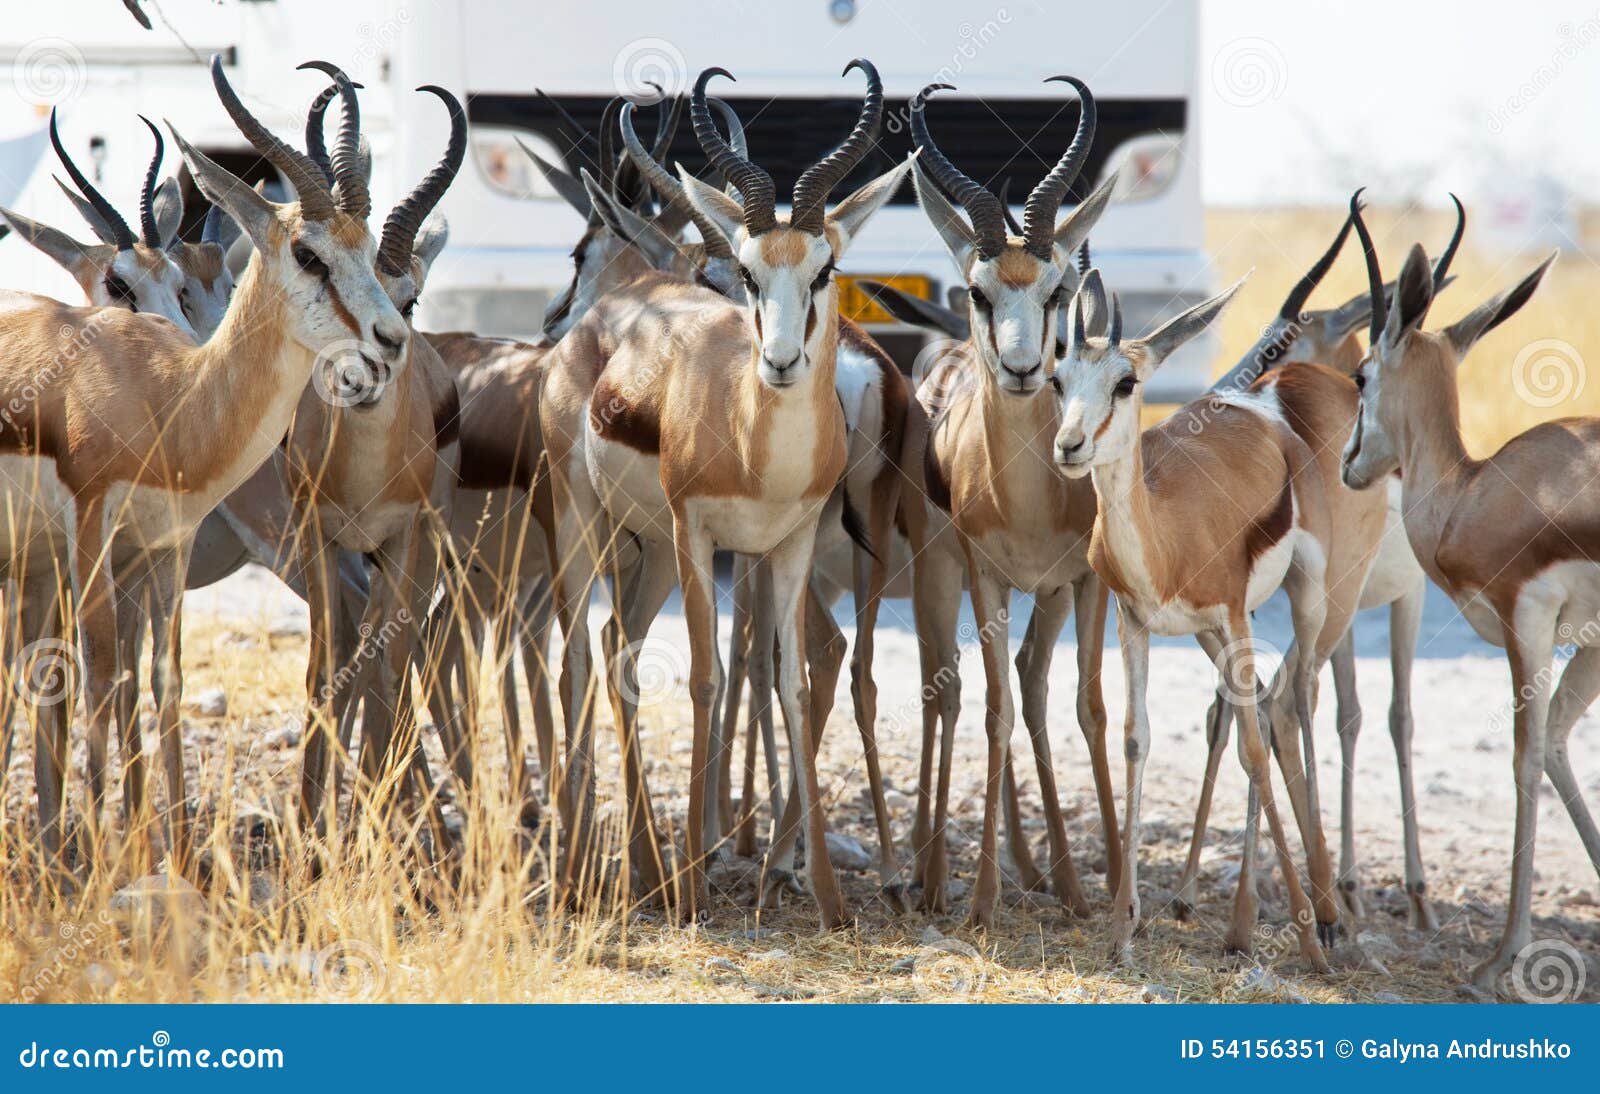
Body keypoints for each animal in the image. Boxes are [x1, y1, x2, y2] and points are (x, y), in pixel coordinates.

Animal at [0, 54, 410, 868]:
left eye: (367, 246)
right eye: (308, 253)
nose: (390, 338)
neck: (169, 397)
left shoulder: (166, 548)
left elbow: (163, 682)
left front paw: (171, 856)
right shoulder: (93, 541)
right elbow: (100, 681)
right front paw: (95, 867)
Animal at [539, 60, 911, 924]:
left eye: (824, 269)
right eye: (747, 269)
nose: (780, 362)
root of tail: (611, 317)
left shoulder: (787, 544)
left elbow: (792, 681)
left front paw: (829, 899)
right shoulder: (700, 534)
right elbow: (709, 676)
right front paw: (699, 889)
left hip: (650, 552)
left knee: (620, 649)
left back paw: (648, 867)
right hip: (589, 525)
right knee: (577, 658)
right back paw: (586, 875)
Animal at [1339, 195, 1592, 995]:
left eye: (1362, 375)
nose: (1348, 464)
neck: (1474, 492)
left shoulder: (1527, 620)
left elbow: (1527, 755)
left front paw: (1501, 956)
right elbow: (1557, 742)